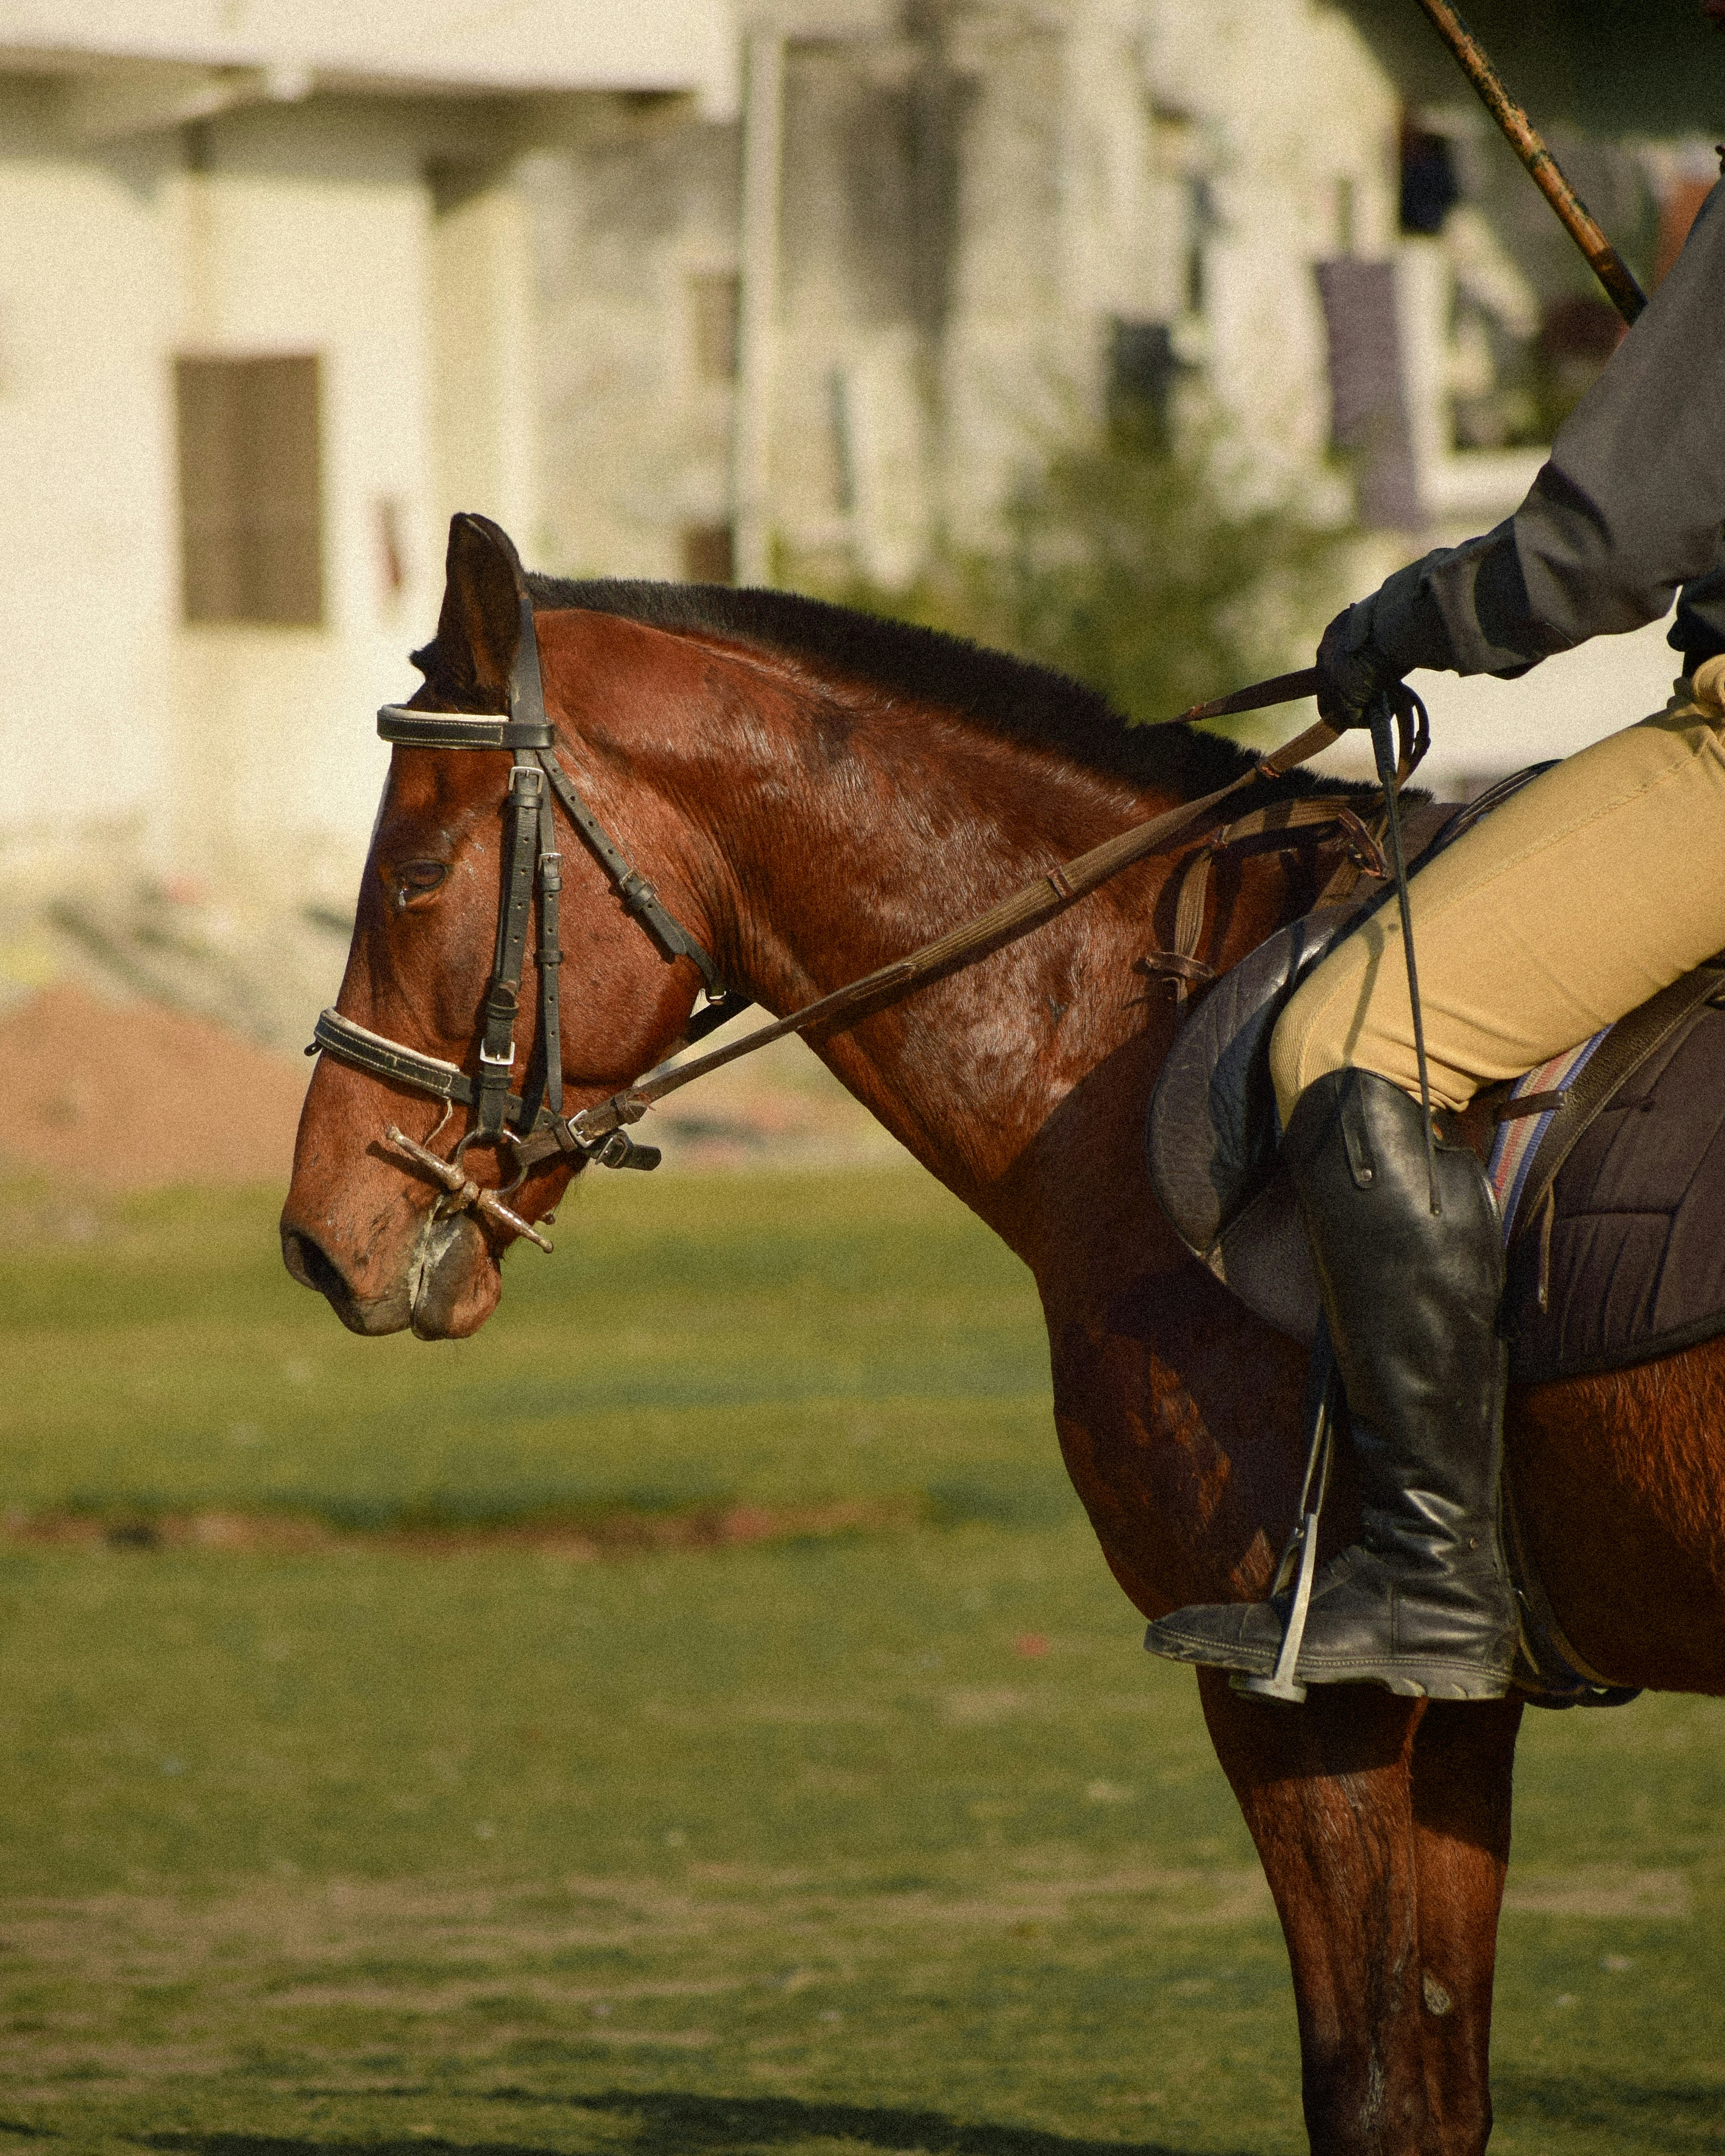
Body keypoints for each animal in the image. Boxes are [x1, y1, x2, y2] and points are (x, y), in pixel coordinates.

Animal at [282, 514, 1725, 2156]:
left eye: (413, 876)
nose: (319, 1235)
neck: (1121, 1033)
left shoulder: (1312, 1702)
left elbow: (1370, 2092)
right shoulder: (1464, 1707)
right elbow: (1435, 2085)